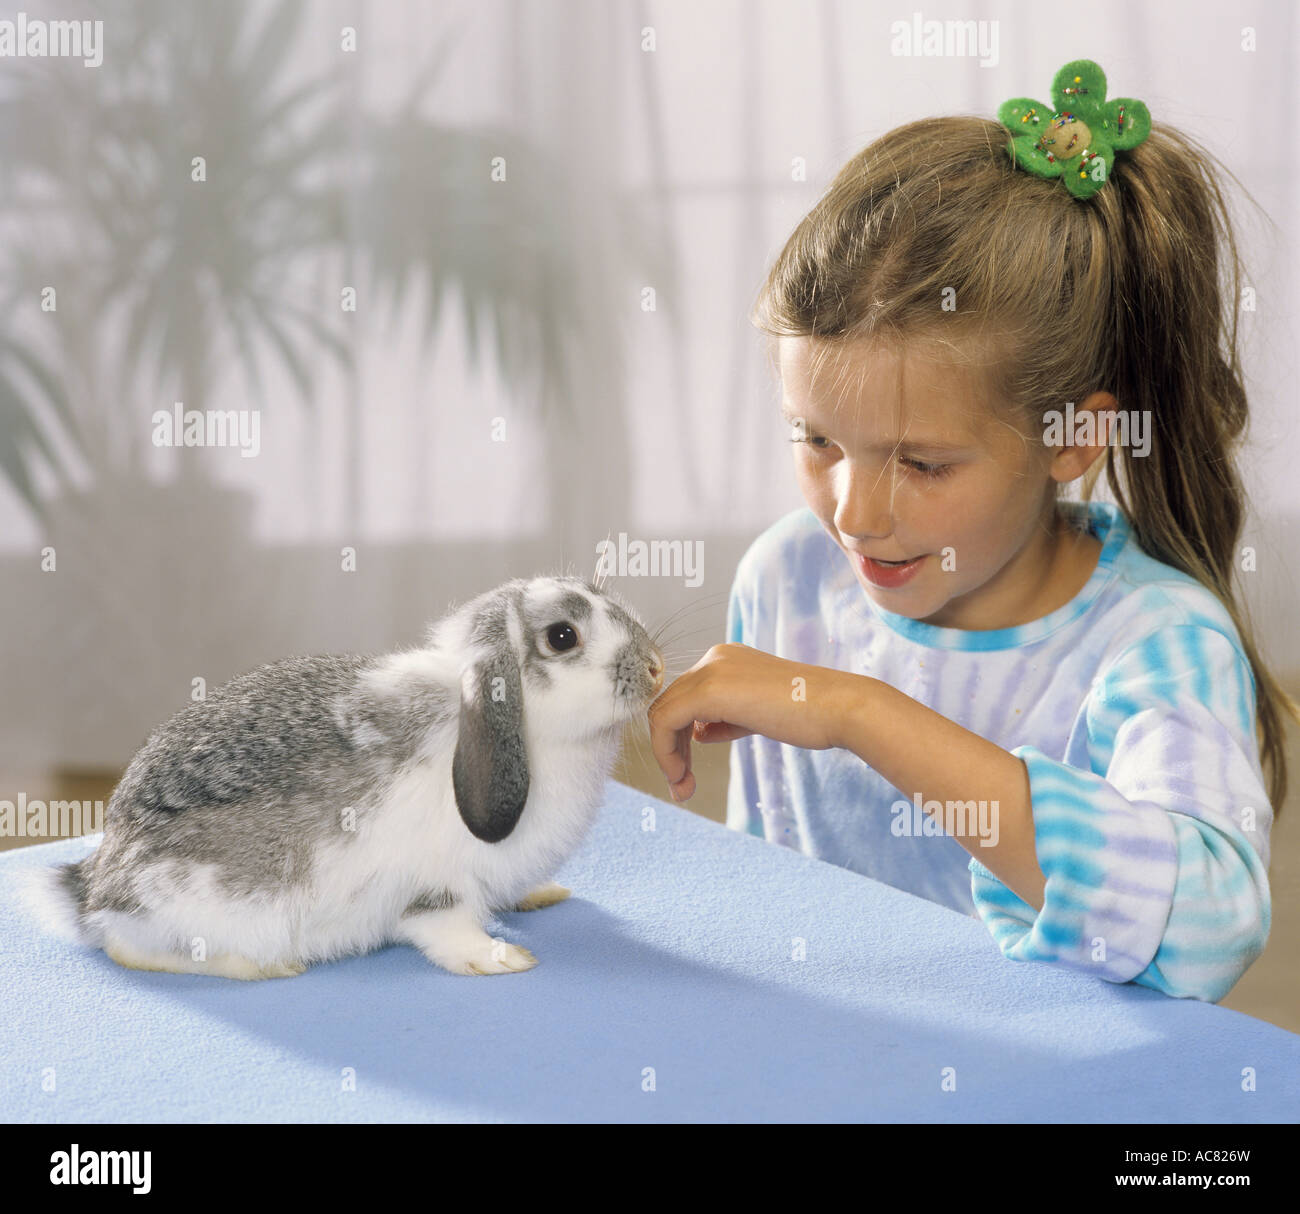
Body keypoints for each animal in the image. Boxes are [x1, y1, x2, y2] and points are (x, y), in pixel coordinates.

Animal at [26, 575, 665, 979]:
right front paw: (500, 959)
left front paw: (542, 895)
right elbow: (447, 928)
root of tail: (92, 890)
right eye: (563, 636)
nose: (656, 669)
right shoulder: (439, 890)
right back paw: (262, 969)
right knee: (130, 949)